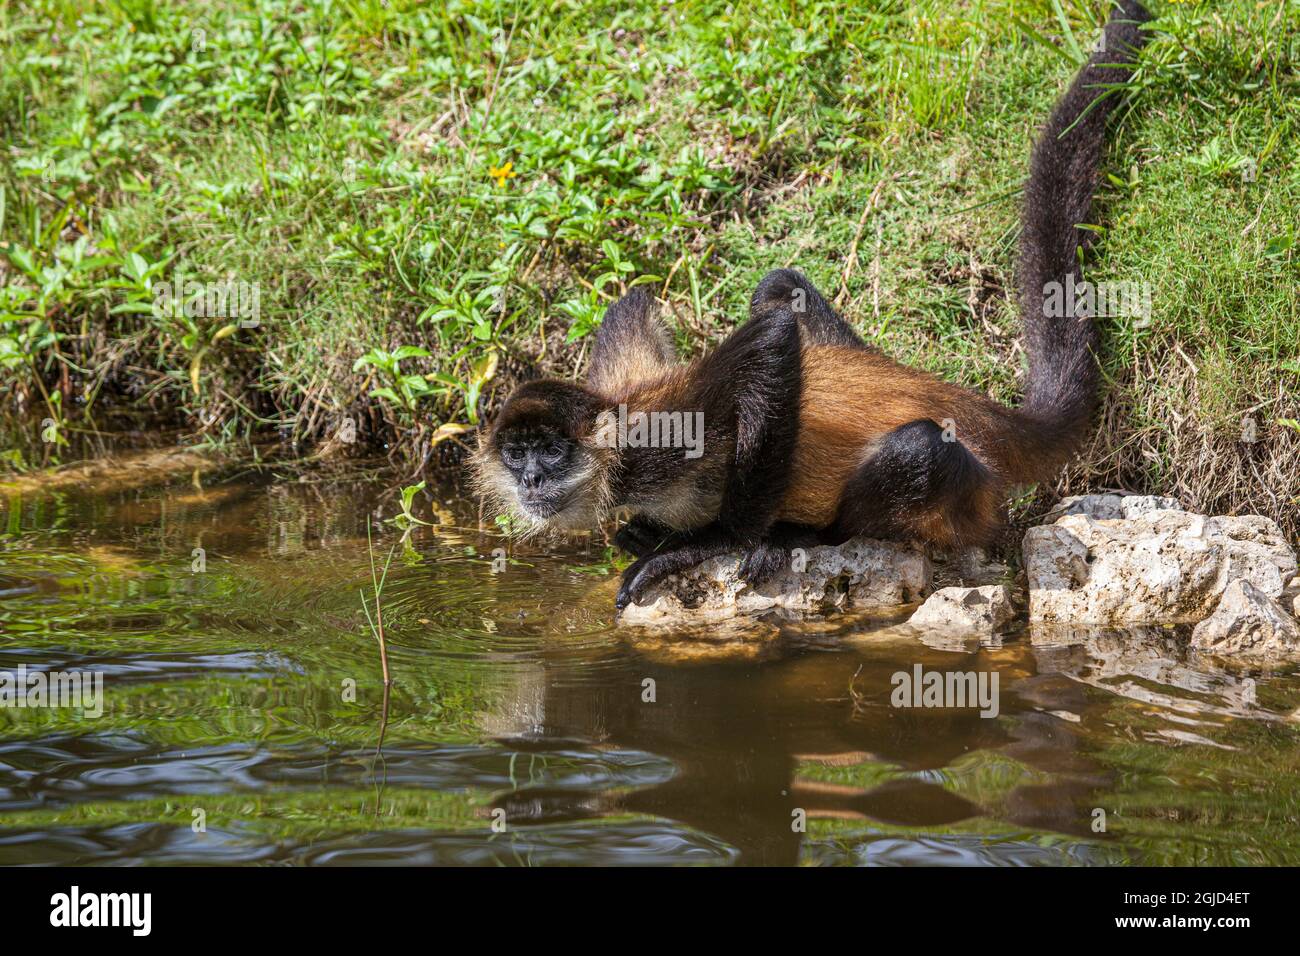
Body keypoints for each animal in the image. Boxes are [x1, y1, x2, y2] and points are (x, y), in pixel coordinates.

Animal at [473, 0, 1152, 610]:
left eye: (550, 452)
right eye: (517, 454)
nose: (530, 479)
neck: (610, 452)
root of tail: (971, 407)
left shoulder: (655, 436)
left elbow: (771, 342)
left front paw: (708, 544)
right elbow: (635, 302)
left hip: (967, 500)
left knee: (919, 449)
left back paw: (800, 534)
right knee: (778, 285)